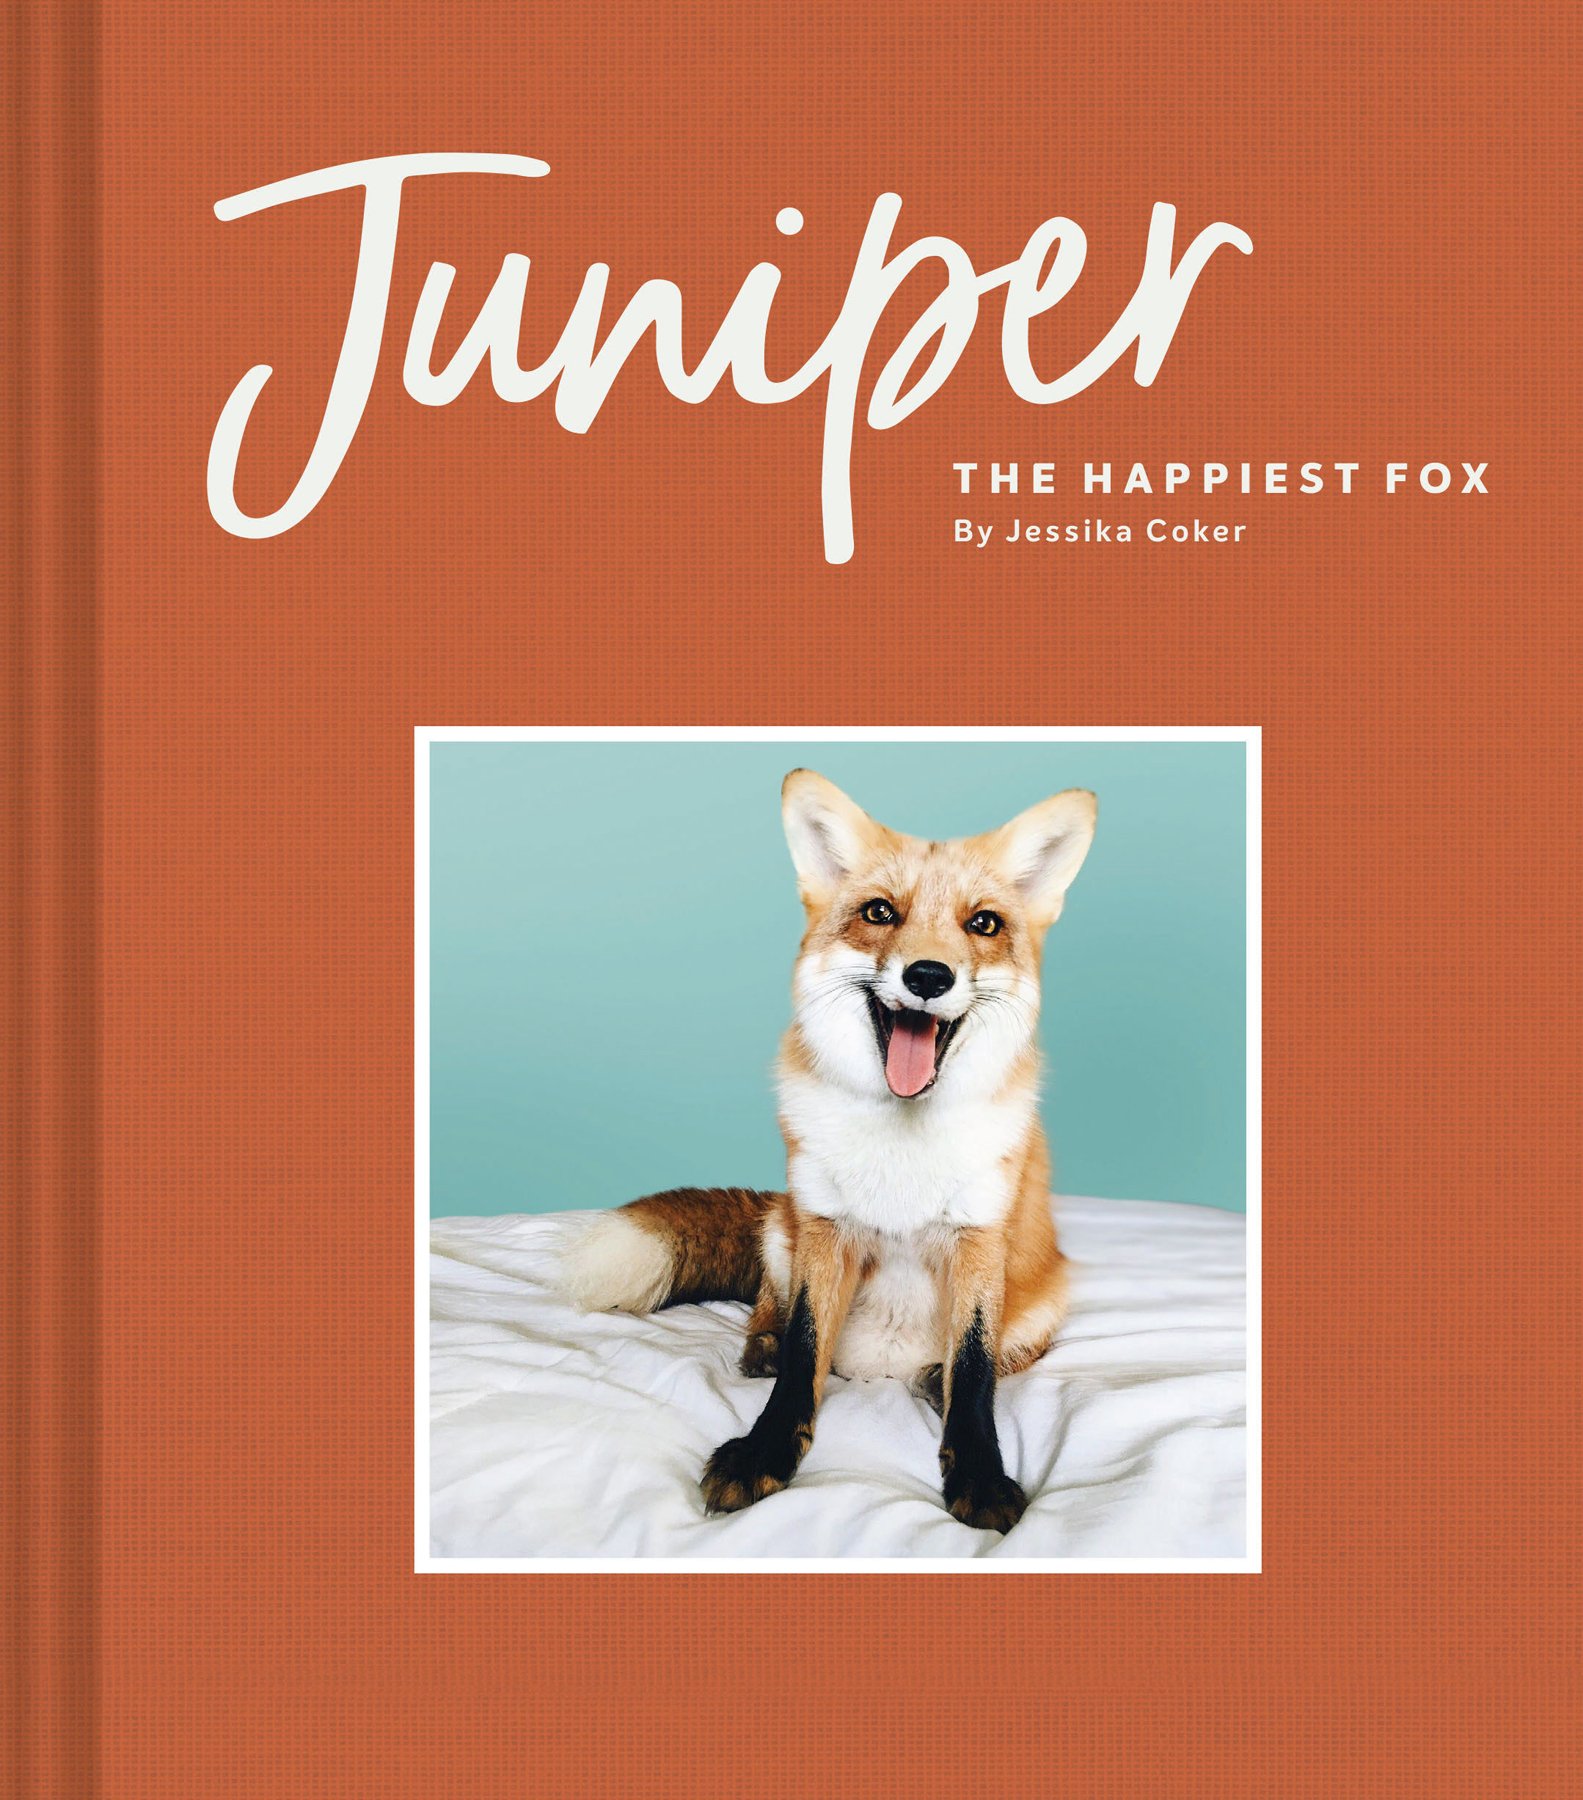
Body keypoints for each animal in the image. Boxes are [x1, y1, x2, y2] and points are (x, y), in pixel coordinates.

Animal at [562, 769, 1097, 1532]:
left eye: (984, 924)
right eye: (879, 912)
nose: (928, 977)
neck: (902, 1144)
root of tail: (879, 1369)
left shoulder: (978, 1238)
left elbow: (975, 1373)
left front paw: (978, 1473)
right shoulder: (823, 1227)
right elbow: (803, 1353)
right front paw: (764, 1451)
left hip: (1046, 1295)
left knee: (1003, 1356)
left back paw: (930, 1379)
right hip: (781, 1228)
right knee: (769, 1306)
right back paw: (760, 1347)